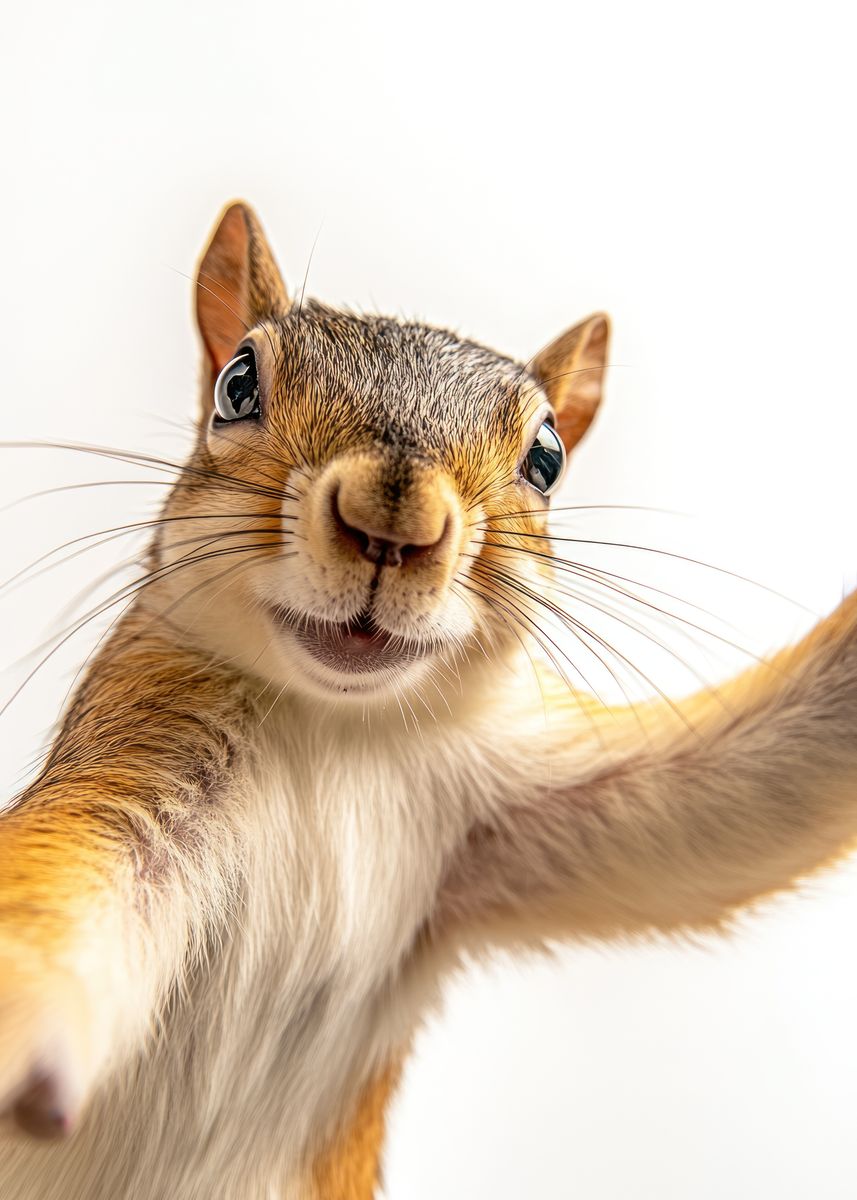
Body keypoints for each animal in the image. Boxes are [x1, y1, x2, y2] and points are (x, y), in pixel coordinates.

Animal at [1, 200, 857, 1200]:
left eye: (547, 458)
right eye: (237, 383)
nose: (393, 525)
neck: (334, 725)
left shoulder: (506, 812)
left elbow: (746, 791)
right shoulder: (143, 740)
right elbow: (64, 886)